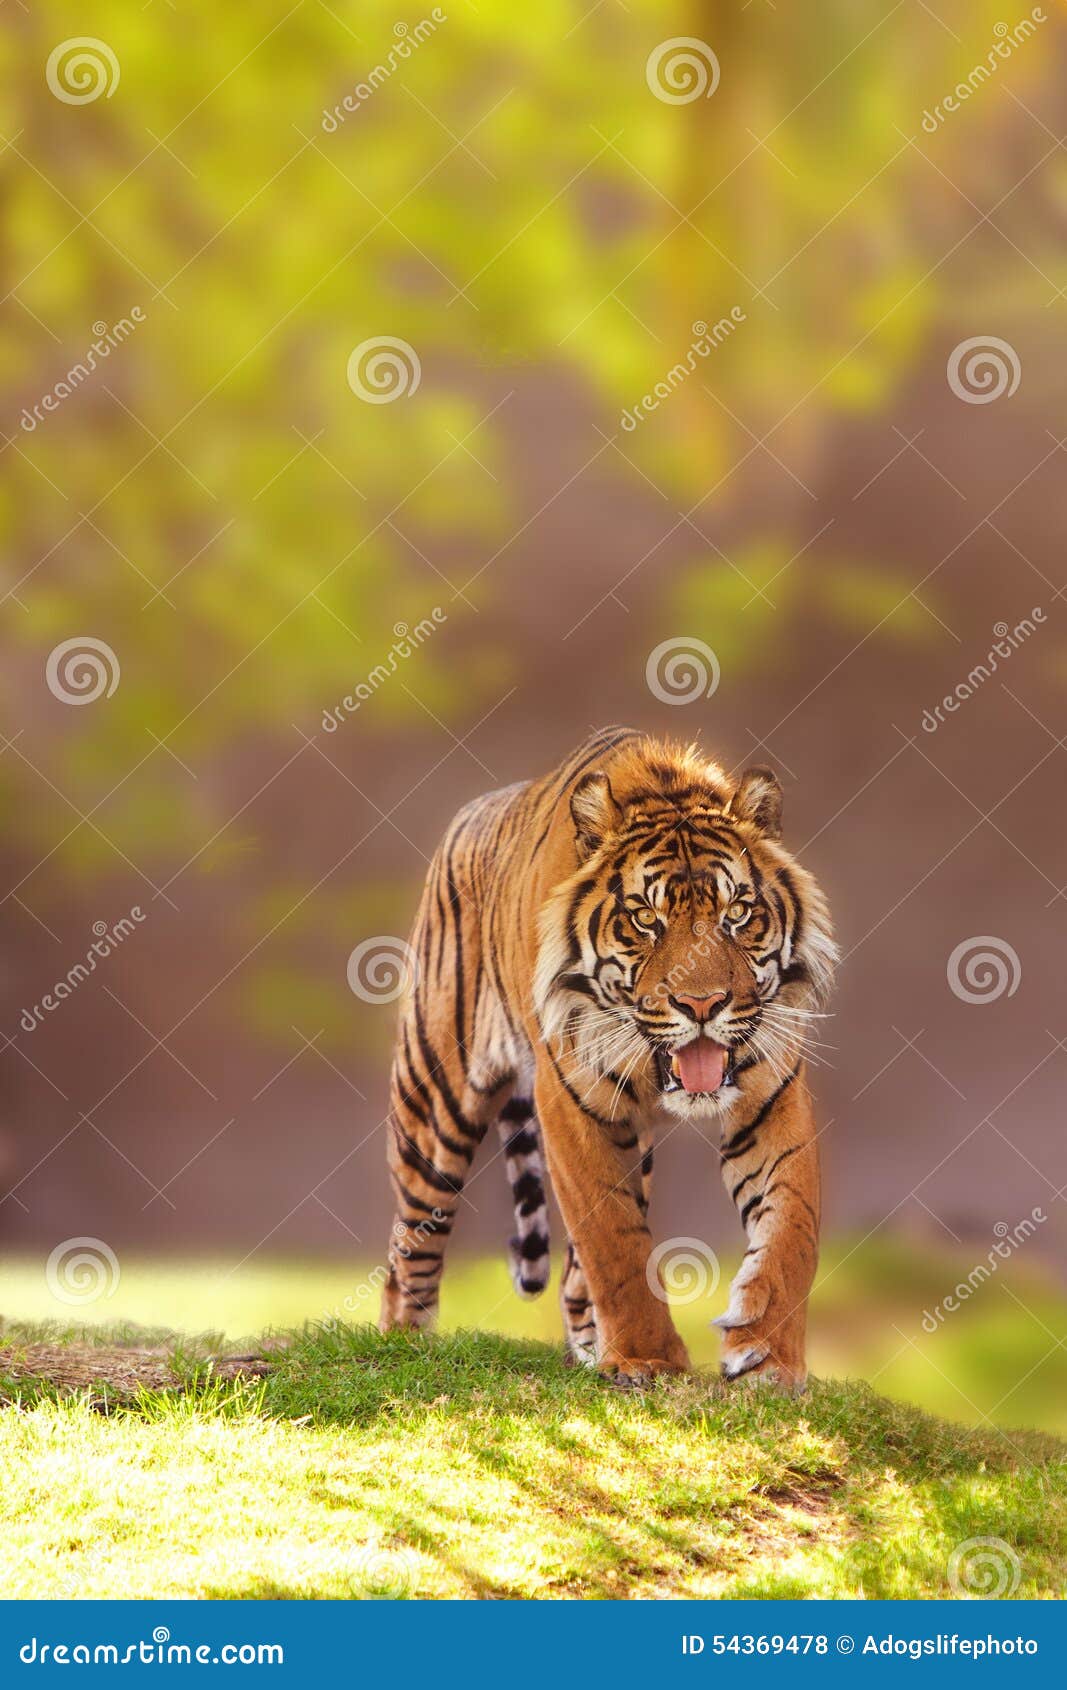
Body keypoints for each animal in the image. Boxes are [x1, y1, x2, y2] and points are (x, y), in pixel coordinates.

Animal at [379, 725, 837, 1391]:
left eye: (737, 913)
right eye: (646, 919)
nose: (703, 1004)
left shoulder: (772, 1092)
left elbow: (789, 1231)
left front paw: (768, 1360)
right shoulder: (573, 1101)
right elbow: (614, 1239)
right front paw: (647, 1360)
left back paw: (591, 1349)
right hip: (434, 1102)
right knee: (410, 1248)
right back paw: (403, 1344)